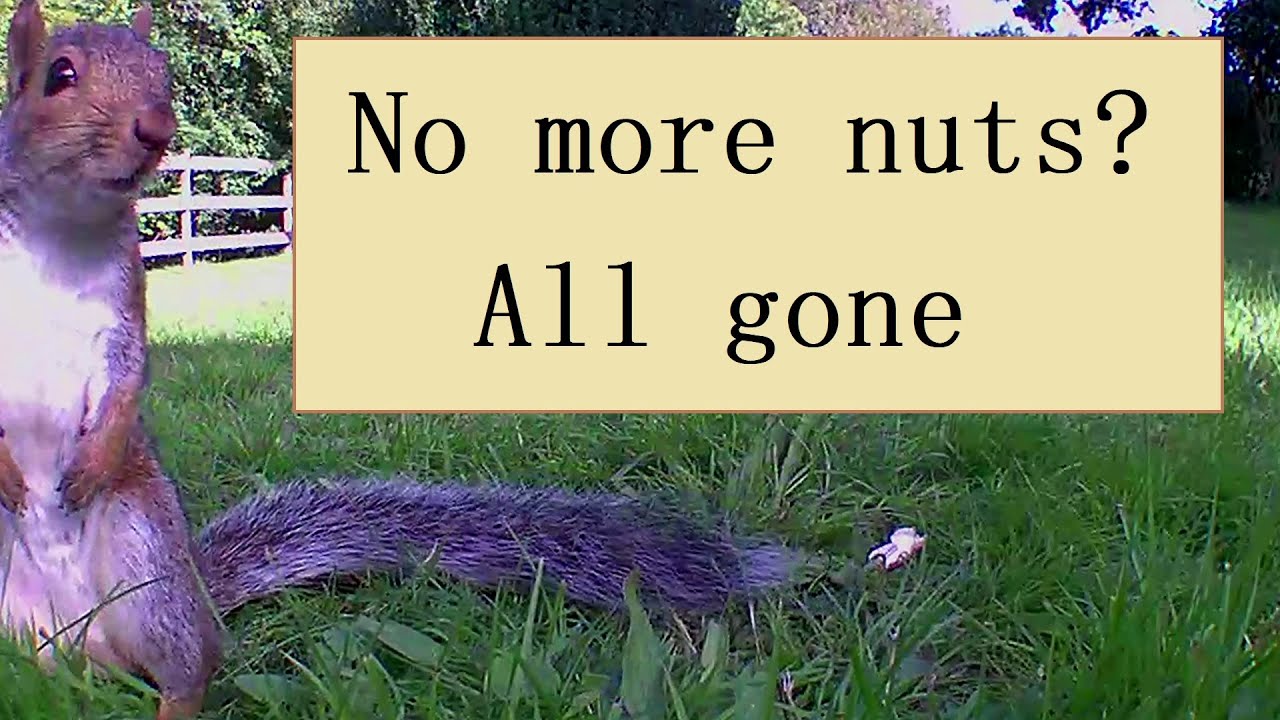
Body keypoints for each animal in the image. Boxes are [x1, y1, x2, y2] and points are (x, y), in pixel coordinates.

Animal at [0, 2, 802, 718]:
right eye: (58, 75)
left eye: (163, 74)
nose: (155, 130)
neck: (60, 236)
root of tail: (87, 639)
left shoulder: (122, 314)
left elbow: (128, 380)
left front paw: (92, 460)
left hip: (147, 568)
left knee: (189, 668)